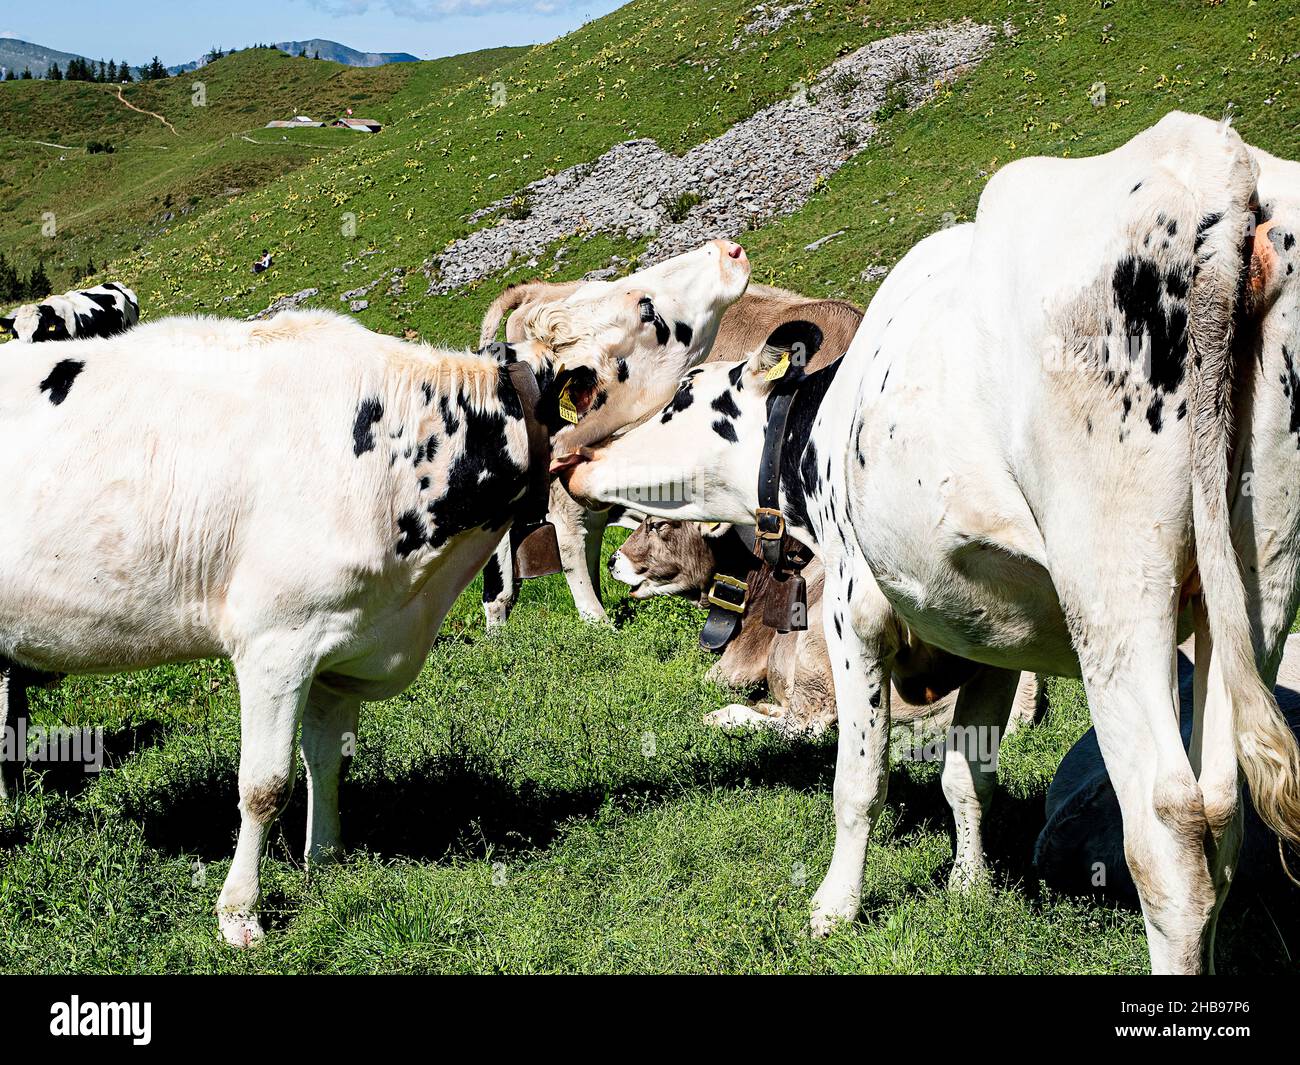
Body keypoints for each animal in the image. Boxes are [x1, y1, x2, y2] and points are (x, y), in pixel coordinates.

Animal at [562, 113, 1300, 973]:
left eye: (683, 395)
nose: (580, 460)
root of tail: (1208, 158)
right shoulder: (991, 635)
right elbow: (966, 775)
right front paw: (969, 888)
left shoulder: (855, 614)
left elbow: (860, 780)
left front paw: (835, 906)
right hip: (1254, 584)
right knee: (1224, 809)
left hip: (1117, 592)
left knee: (1169, 829)